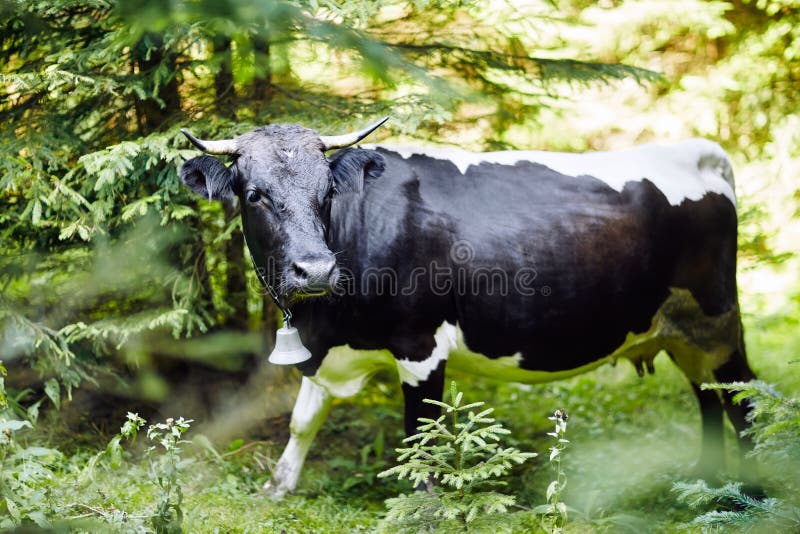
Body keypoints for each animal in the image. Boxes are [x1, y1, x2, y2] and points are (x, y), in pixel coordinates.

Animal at [179, 118, 756, 498]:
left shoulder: (420, 344)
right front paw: (277, 488)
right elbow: (302, 422)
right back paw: (707, 479)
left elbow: (422, 436)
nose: (315, 270)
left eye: (328, 191)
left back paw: (751, 492)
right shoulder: (326, 349)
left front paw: (425, 506)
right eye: (254, 194)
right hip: (679, 330)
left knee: (743, 400)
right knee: (708, 397)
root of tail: (698, 151)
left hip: (717, 323)